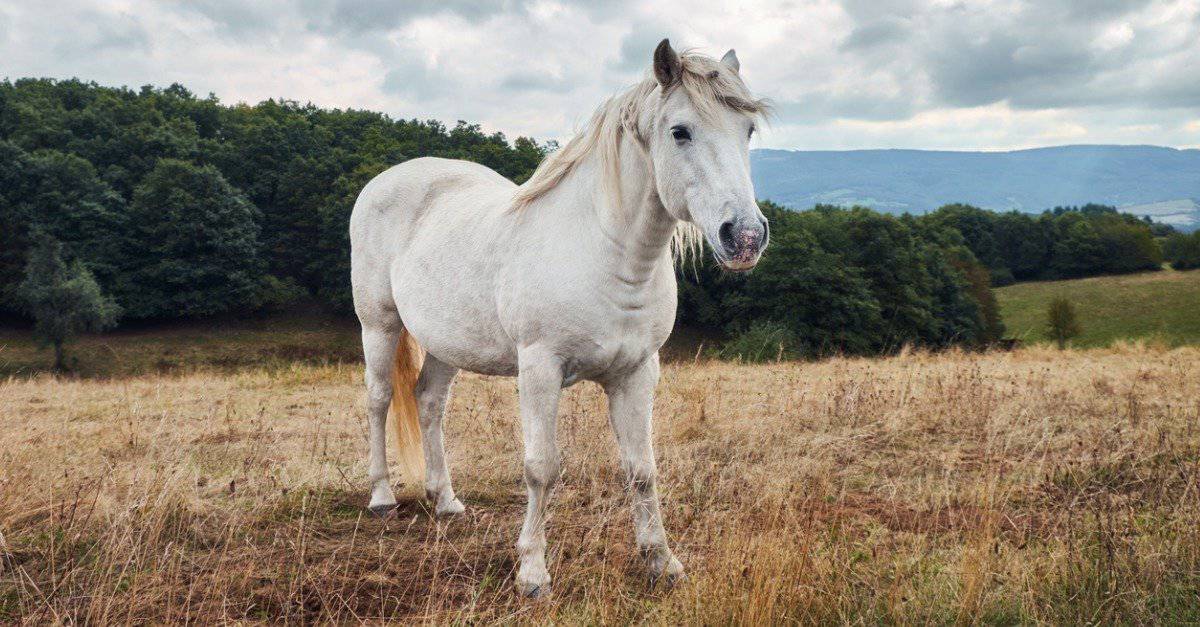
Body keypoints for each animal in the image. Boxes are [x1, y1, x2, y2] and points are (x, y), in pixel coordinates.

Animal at [349, 39, 770, 597]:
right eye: (681, 131)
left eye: (747, 131)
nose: (744, 237)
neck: (607, 254)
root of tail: (387, 181)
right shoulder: (540, 370)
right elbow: (541, 468)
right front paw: (532, 573)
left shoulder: (637, 374)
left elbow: (642, 469)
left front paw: (662, 562)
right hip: (379, 324)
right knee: (378, 400)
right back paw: (380, 498)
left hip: (446, 342)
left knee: (429, 402)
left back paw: (446, 500)